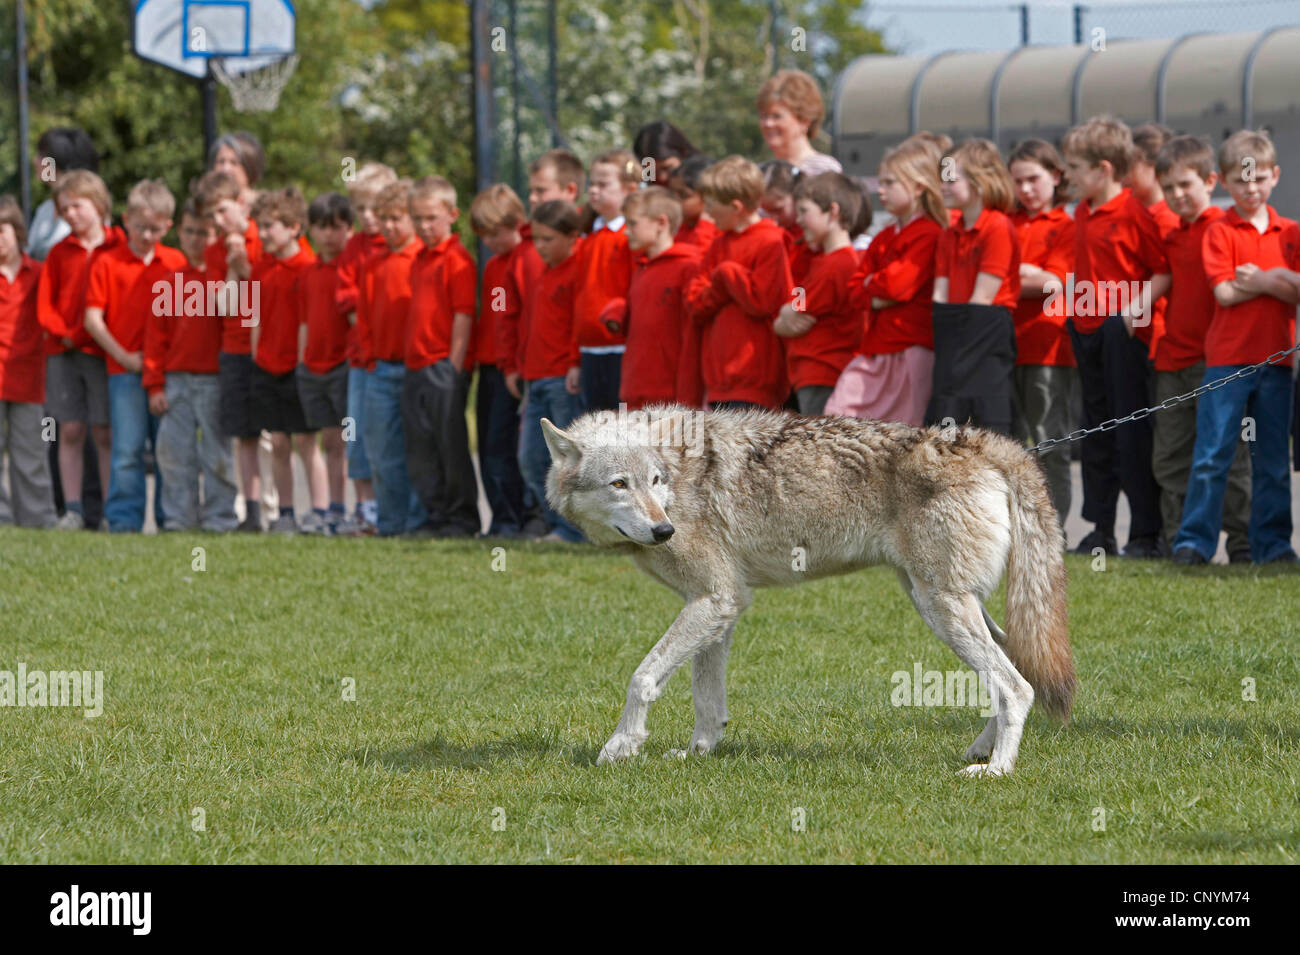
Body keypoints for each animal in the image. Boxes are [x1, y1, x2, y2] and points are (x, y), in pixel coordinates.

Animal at [541, 405, 1076, 776]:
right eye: (620, 484)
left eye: (655, 481)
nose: (663, 530)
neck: (680, 477)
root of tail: (982, 441)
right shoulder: (720, 606)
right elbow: (707, 699)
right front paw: (698, 753)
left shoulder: (714, 599)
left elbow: (643, 677)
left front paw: (621, 747)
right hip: (947, 607)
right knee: (1016, 670)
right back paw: (981, 750)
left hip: (942, 608)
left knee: (1017, 687)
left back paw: (997, 770)